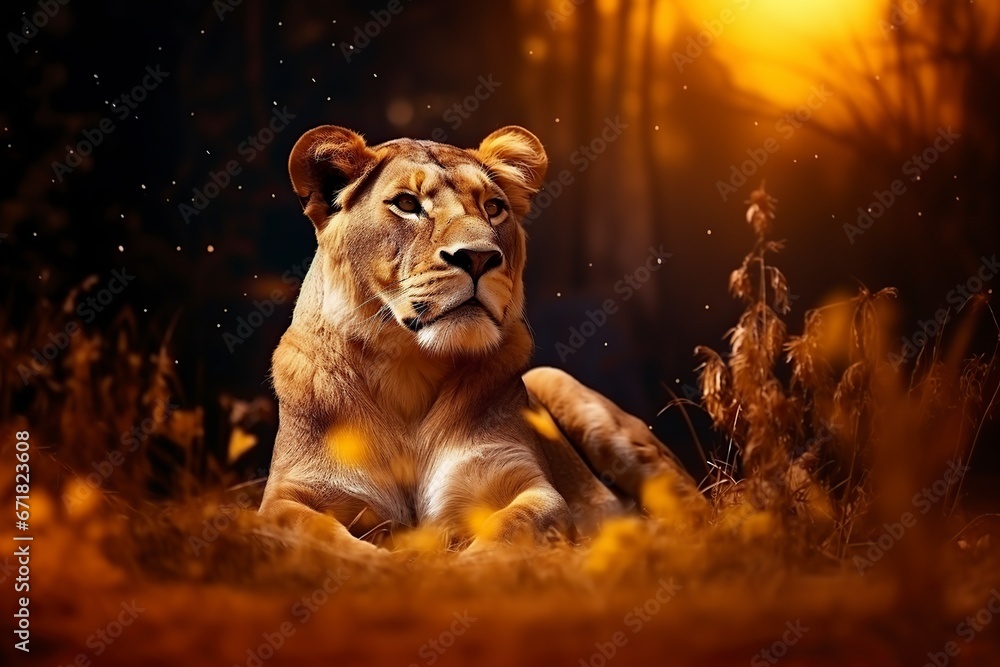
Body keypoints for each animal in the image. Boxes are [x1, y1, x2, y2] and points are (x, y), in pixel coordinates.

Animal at [258, 124, 707, 554]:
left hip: (579, 401)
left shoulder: (528, 484)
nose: (478, 257)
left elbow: (511, 528)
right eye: (407, 204)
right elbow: (319, 534)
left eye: (493, 207)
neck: (407, 369)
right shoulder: (286, 496)